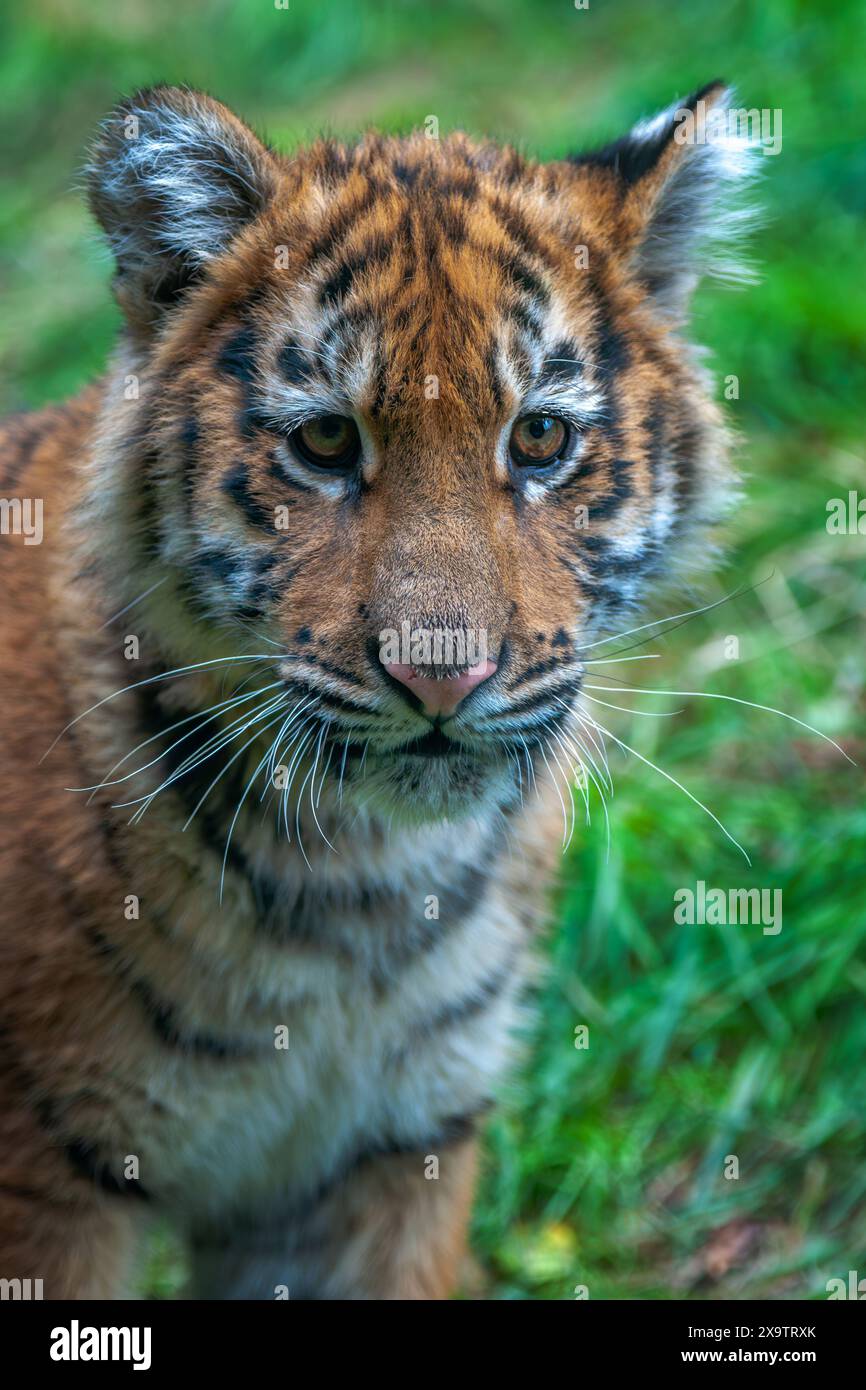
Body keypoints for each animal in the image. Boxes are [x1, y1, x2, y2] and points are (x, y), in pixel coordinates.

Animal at [0, 81, 755, 1300]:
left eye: (539, 436)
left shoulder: (386, 1153)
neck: (363, 894)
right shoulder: (45, 1182)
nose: (441, 672)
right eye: (322, 440)